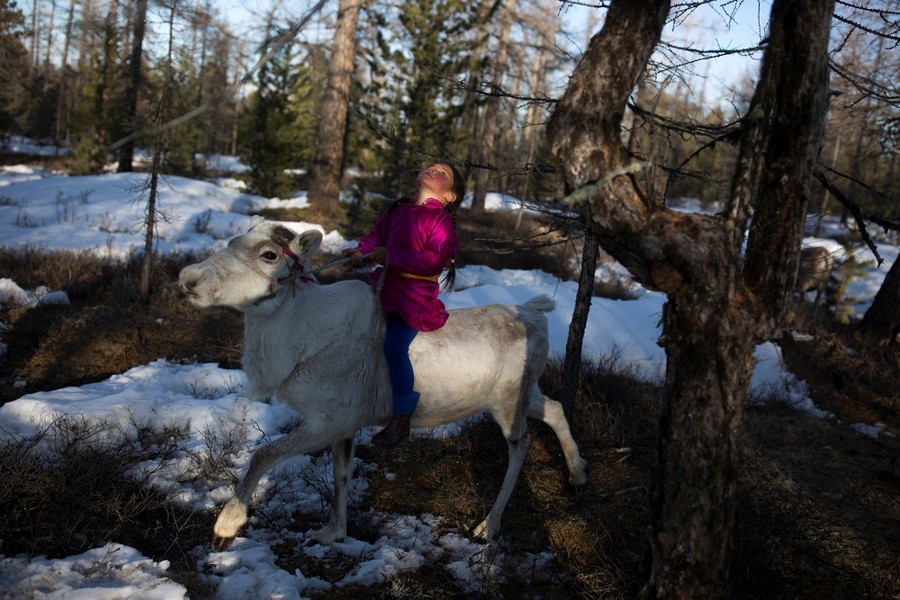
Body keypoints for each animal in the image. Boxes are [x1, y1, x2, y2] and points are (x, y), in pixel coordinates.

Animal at [178, 217, 587, 551]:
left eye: (268, 254)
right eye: (232, 241)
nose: (188, 279)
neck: (300, 339)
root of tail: (537, 315)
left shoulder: (329, 420)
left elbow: (264, 454)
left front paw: (225, 528)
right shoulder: (345, 426)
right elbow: (341, 475)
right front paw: (332, 532)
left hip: (507, 403)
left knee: (522, 446)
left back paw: (488, 526)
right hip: (523, 394)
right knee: (555, 408)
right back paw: (577, 474)